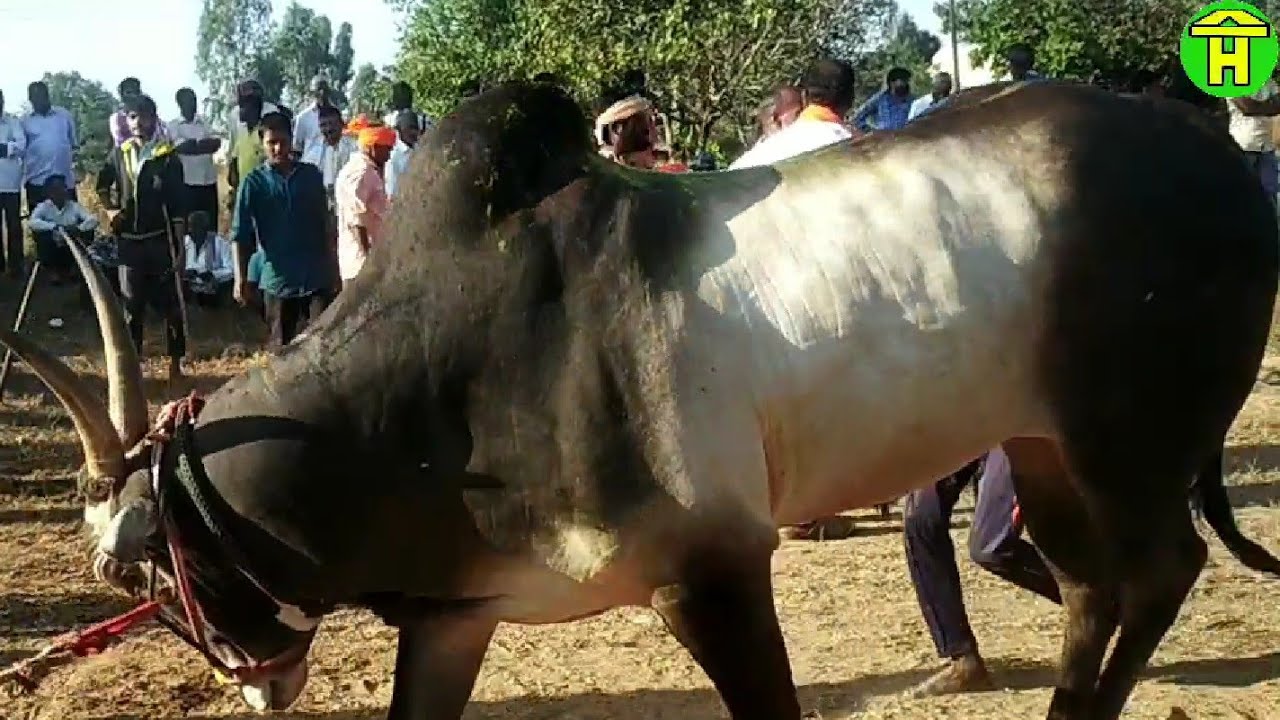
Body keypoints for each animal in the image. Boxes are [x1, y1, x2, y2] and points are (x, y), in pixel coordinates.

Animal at [4, 79, 1280, 720]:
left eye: (127, 569)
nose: (264, 683)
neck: (432, 404)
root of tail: (1217, 157)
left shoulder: (709, 571)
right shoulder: (454, 615)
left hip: (1130, 442)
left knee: (1160, 569)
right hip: (1042, 446)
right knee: (1088, 587)